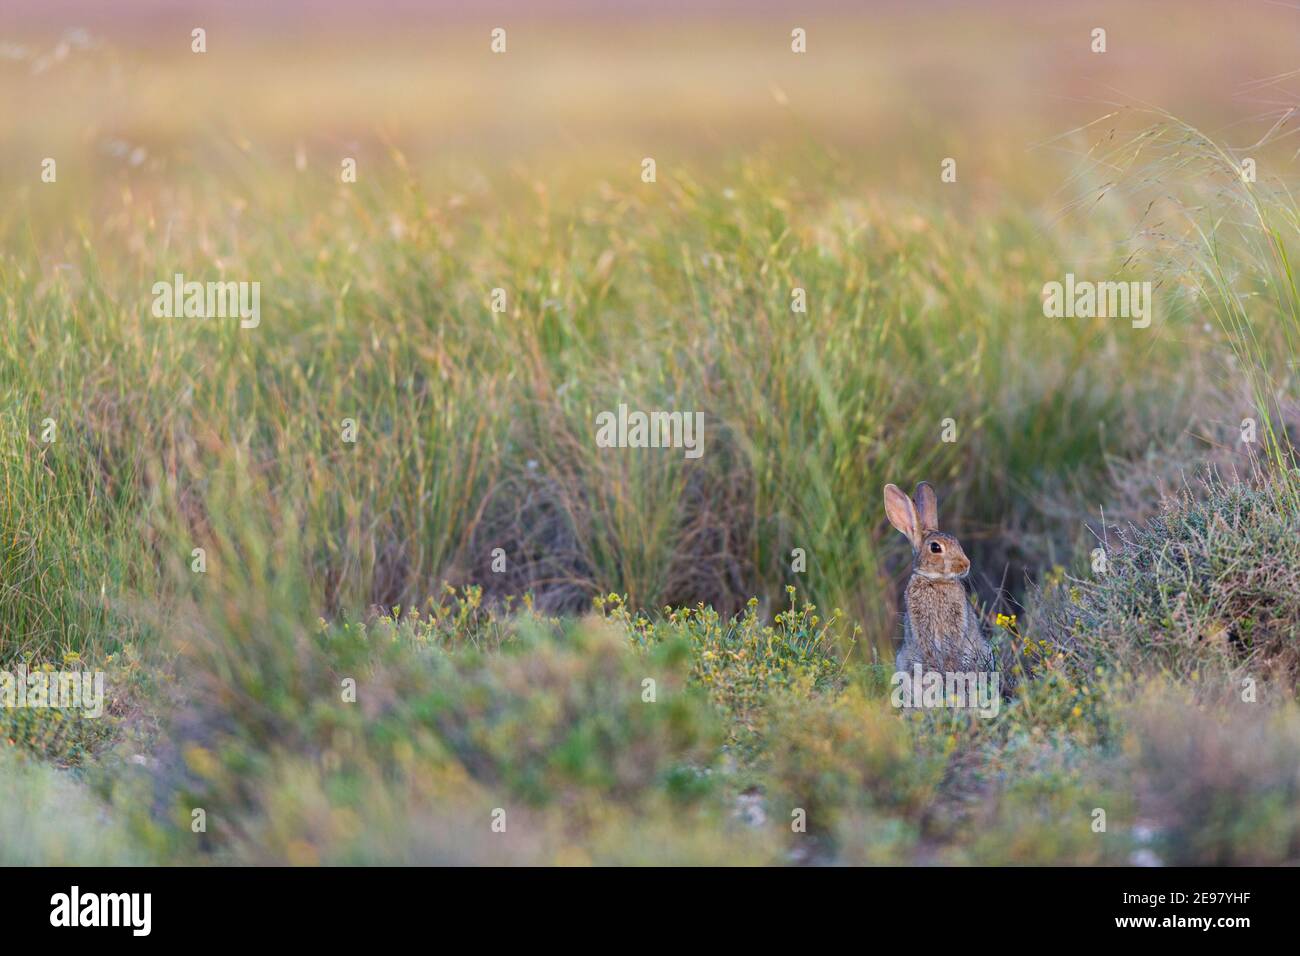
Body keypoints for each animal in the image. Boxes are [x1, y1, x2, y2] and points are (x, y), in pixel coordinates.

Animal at [884, 481, 993, 675]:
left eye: (957, 542)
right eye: (935, 548)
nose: (966, 565)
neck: (934, 581)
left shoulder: (956, 624)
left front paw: (948, 668)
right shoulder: (921, 627)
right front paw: (935, 668)